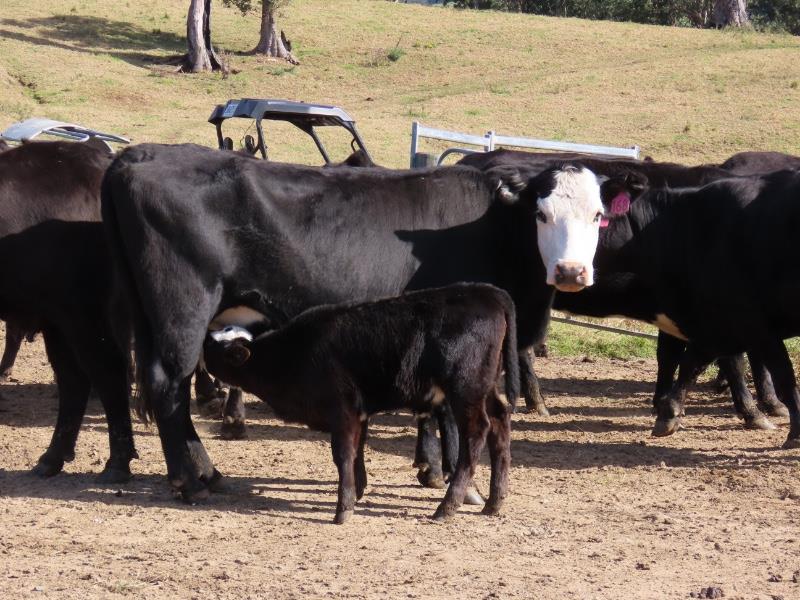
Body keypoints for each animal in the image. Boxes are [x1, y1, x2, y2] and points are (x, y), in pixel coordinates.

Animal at [0, 141, 136, 481]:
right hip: (58, 321)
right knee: (74, 381)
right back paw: (53, 456)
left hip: (84, 317)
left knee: (107, 376)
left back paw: (117, 462)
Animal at [203, 283, 518, 523]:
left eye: (218, 346)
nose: (204, 338)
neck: (293, 352)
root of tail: (487, 292)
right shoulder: (360, 412)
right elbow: (357, 452)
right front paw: (357, 492)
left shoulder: (342, 412)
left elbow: (343, 455)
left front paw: (343, 508)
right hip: (486, 387)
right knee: (500, 422)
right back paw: (494, 502)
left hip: (466, 390)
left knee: (476, 433)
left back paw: (448, 506)